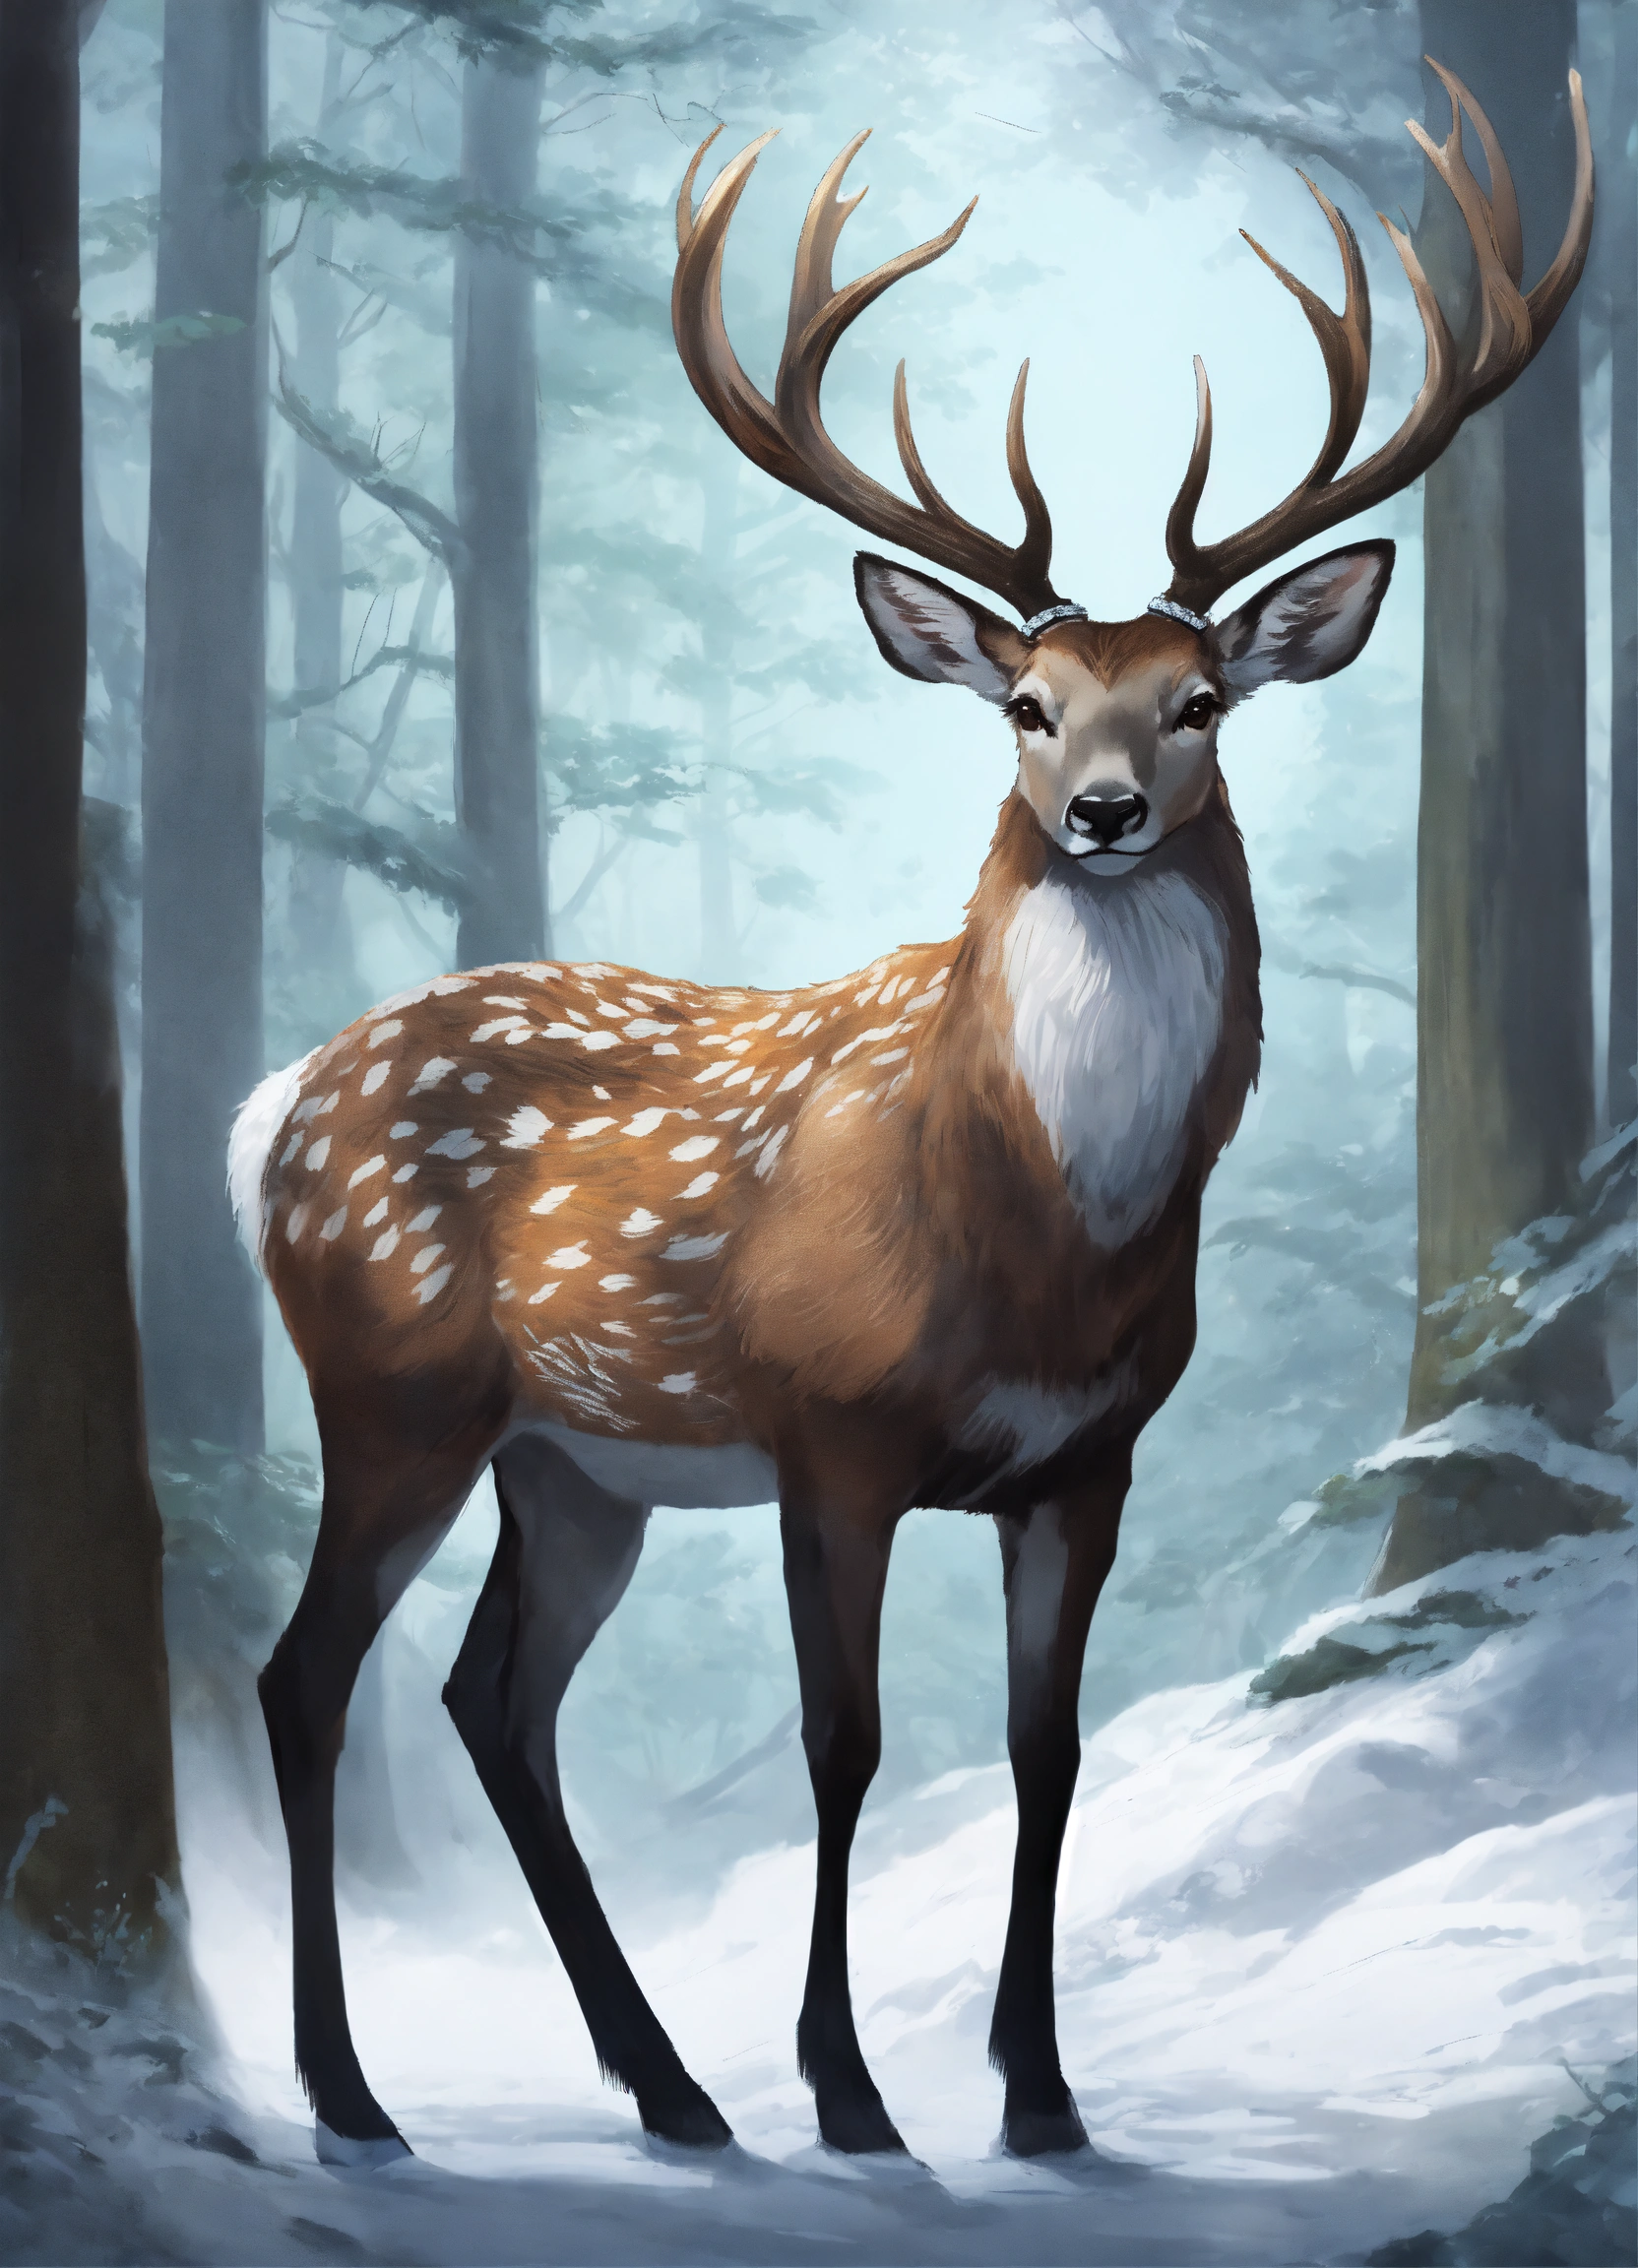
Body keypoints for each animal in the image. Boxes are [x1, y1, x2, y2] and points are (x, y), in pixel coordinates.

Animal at [233, 63, 1591, 2168]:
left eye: (1198, 700)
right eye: (1023, 702)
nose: (1101, 811)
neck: (1037, 1238)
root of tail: (274, 1105)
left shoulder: (1085, 1455)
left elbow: (1043, 1745)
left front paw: (1037, 2092)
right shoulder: (830, 1426)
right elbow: (845, 1741)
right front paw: (854, 2087)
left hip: (577, 1463)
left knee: (491, 1701)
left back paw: (669, 2087)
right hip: (394, 1386)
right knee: (310, 1675)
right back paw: (356, 2092)